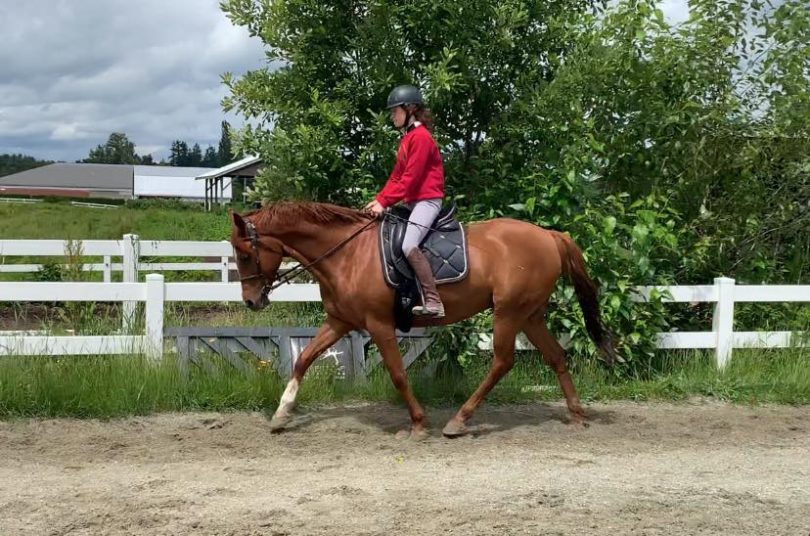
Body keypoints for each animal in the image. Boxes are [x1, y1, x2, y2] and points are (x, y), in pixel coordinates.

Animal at [229, 201, 618, 438]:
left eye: (245, 254)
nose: (251, 301)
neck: (347, 254)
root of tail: (551, 235)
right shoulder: (340, 321)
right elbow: (304, 360)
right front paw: (282, 414)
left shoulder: (379, 325)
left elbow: (398, 374)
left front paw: (418, 423)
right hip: (529, 314)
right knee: (556, 356)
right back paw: (576, 415)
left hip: (508, 312)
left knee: (502, 361)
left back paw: (458, 421)